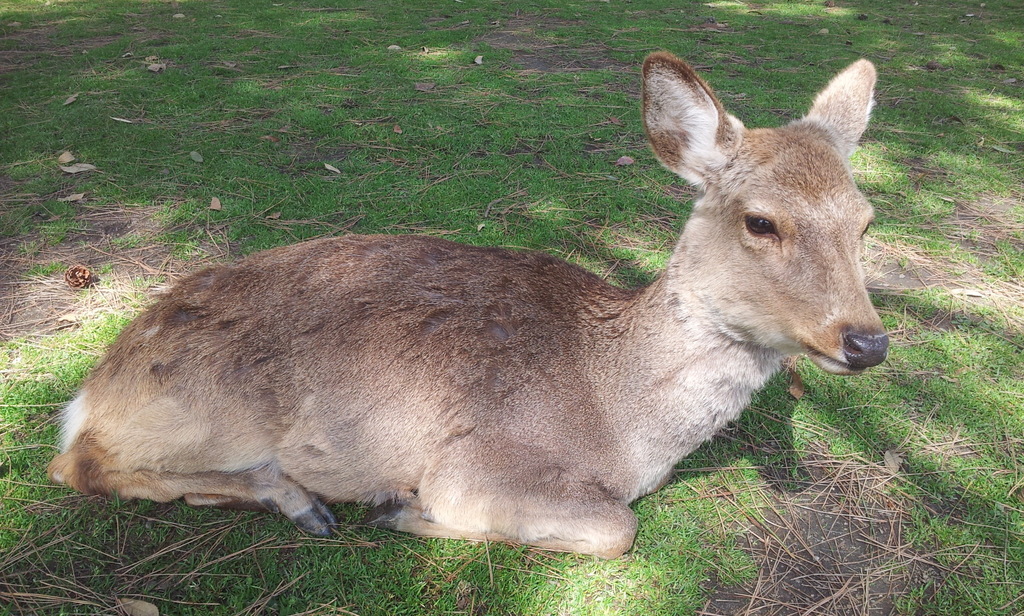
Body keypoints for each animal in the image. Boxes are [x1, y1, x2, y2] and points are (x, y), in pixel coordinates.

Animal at [48, 52, 888, 559]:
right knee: (78, 464)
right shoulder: (478, 464)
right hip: (210, 405)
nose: (867, 342)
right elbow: (617, 528)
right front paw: (396, 508)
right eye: (761, 221)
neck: (621, 427)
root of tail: (95, 384)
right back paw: (298, 499)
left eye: (866, 220)